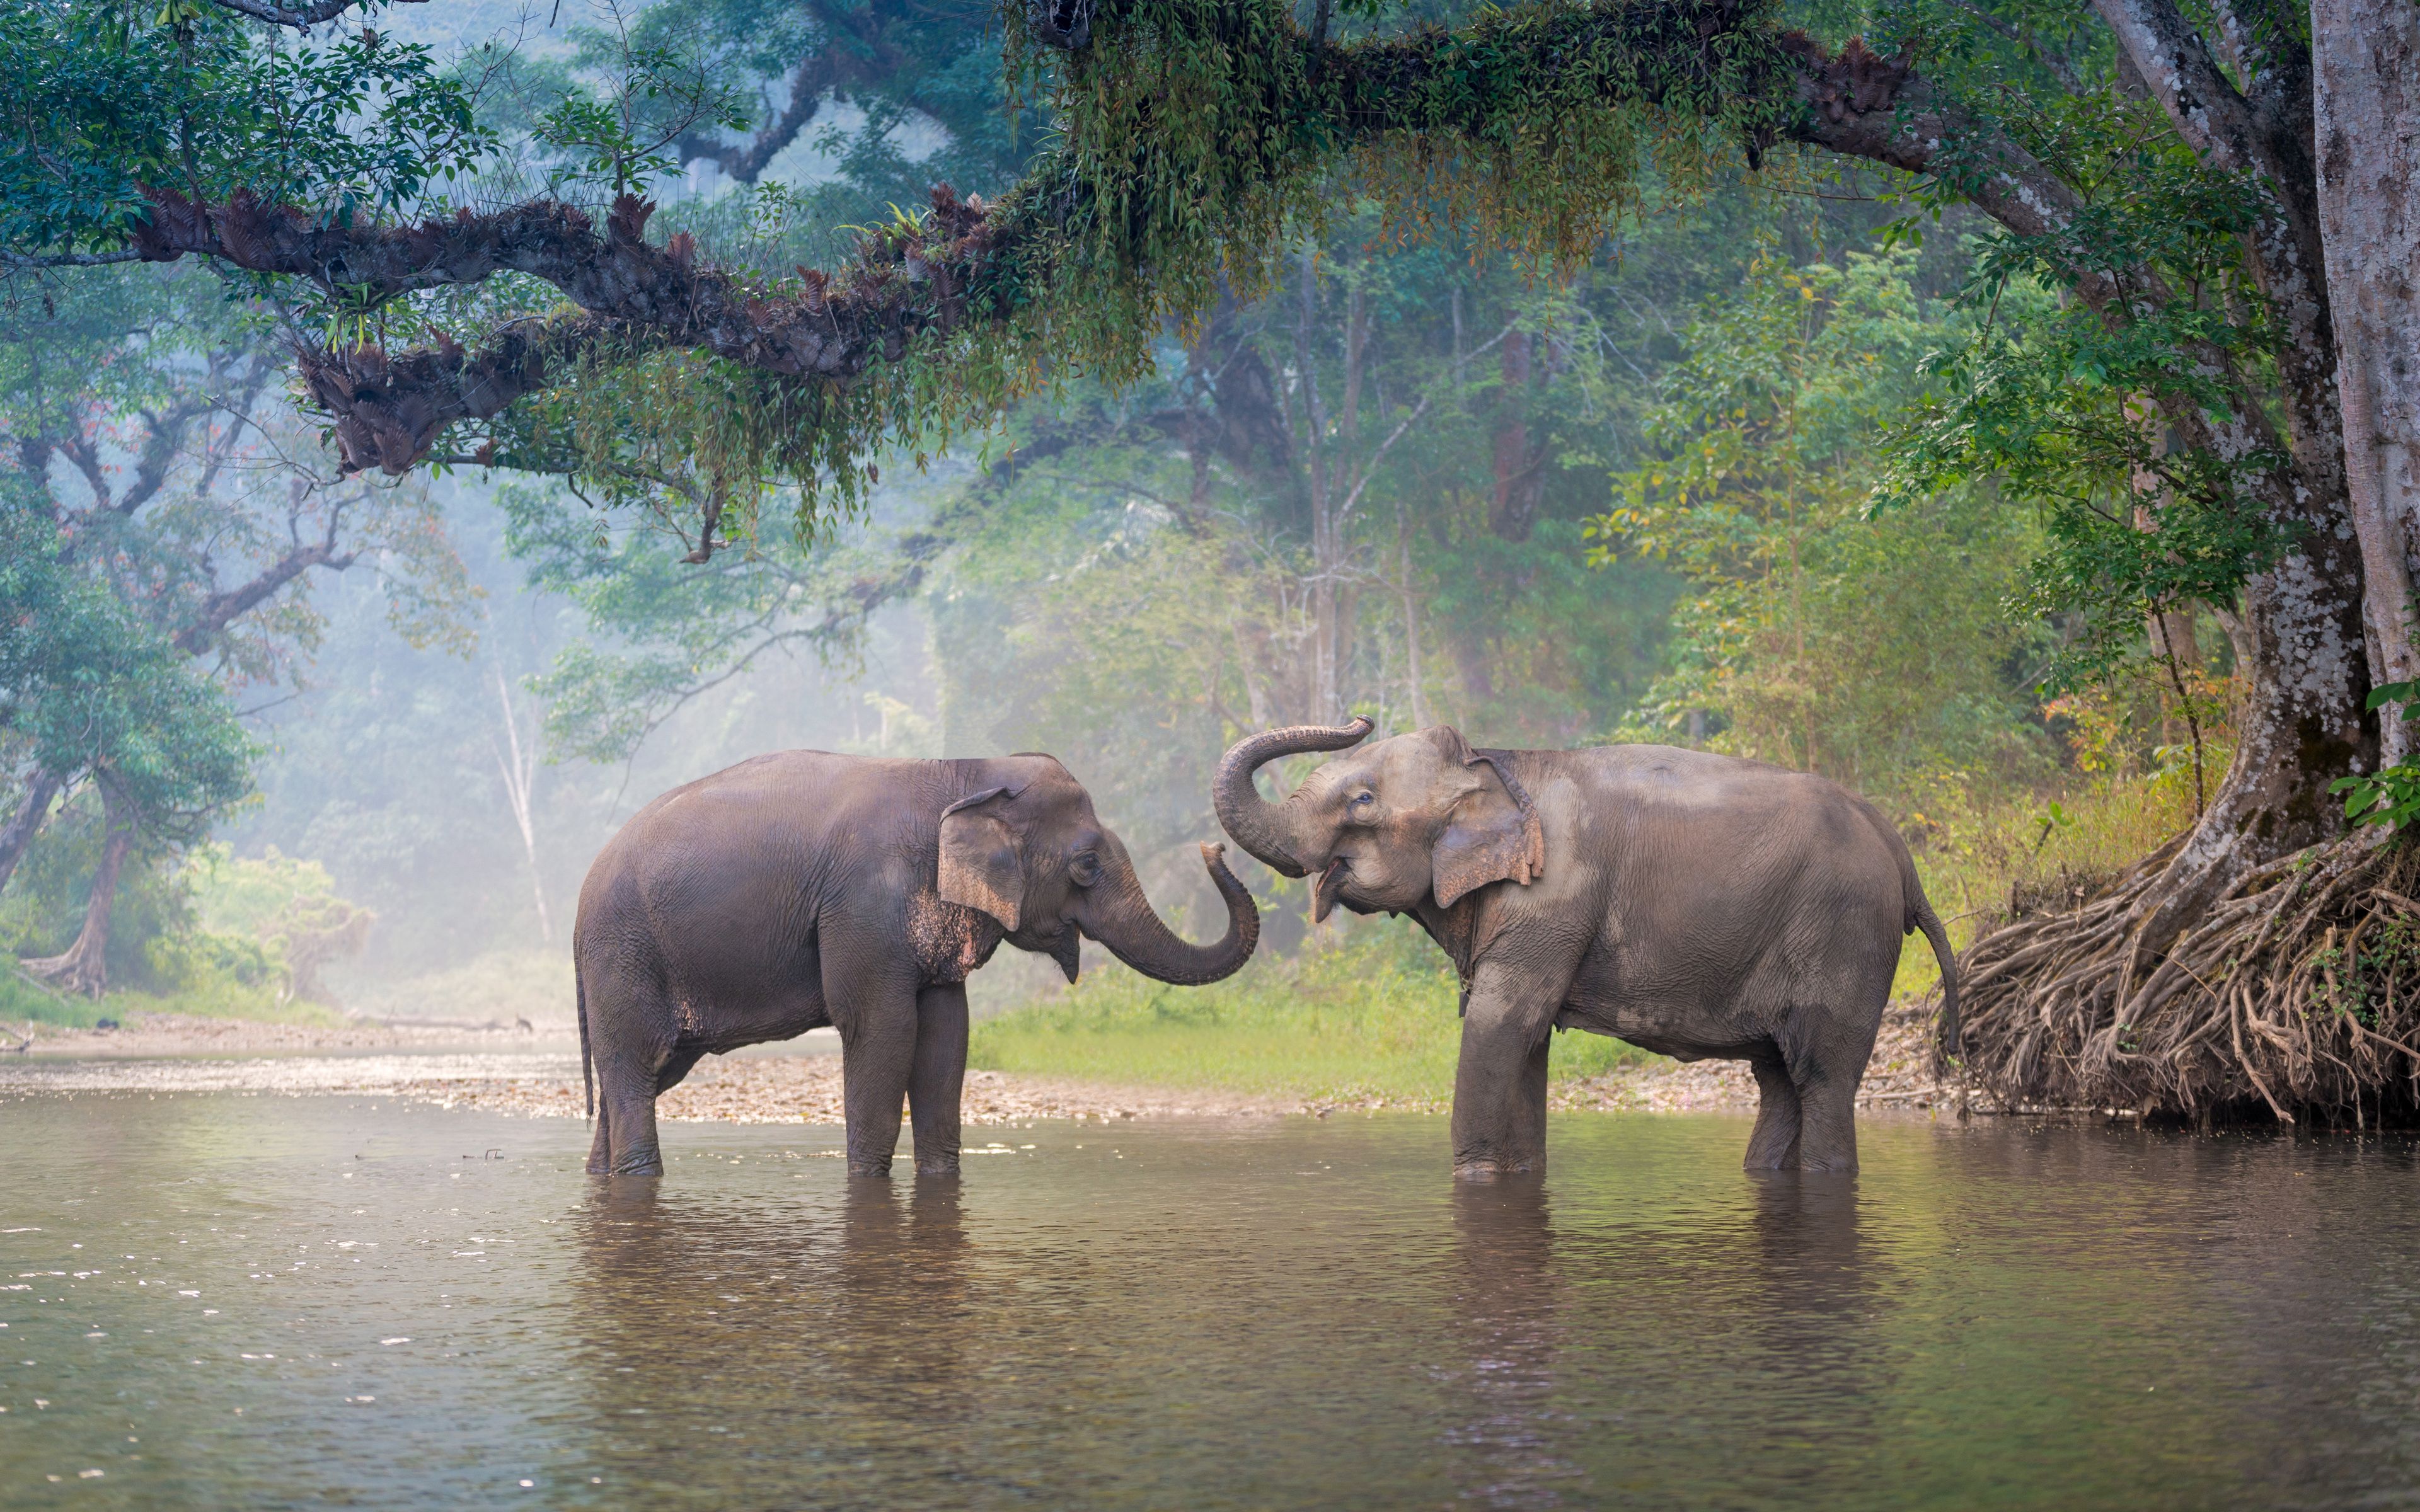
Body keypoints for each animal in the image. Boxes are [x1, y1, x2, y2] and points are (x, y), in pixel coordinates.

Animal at [575, 750, 1257, 1177]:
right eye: (1086, 864)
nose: (1215, 848)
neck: (962, 772)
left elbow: (946, 1037)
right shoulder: (864, 905)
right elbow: (883, 1029)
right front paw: (867, 1183)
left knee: (644, 1075)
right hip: (624, 954)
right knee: (635, 1067)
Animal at [1212, 719, 1957, 1177]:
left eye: (1363, 800)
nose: (1360, 716)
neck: (1496, 763)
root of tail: (1901, 854)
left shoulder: (1553, 900)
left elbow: (1500, 1027)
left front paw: (1475, 1178)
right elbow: (1525, 1043)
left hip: (1845, 933)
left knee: (1822, 1077)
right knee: (1778, 1079)